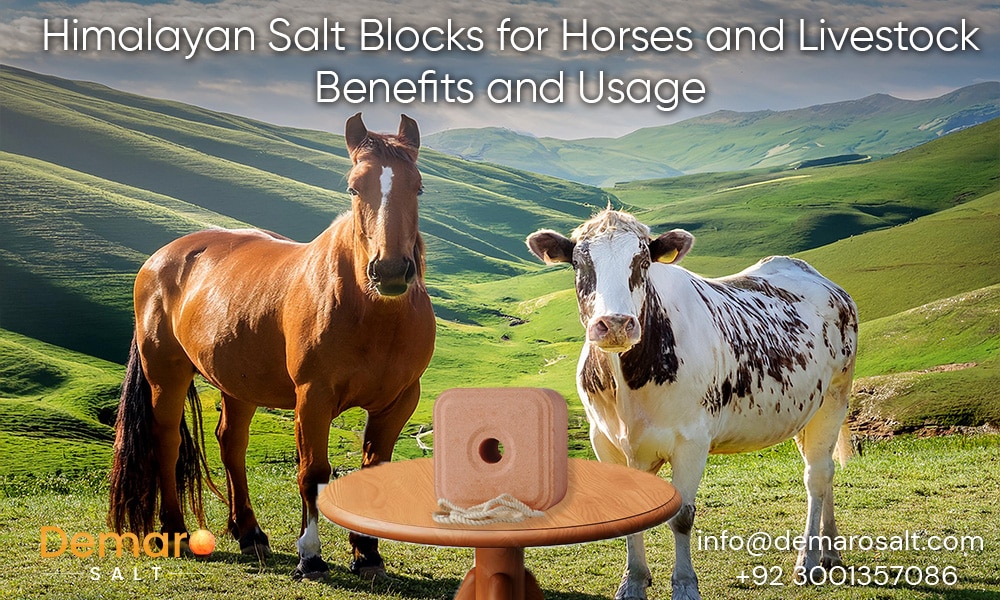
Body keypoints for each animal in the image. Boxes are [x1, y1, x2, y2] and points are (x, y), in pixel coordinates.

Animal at [108, 113, 436, 581]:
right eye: (355, 188)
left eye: (418, 187)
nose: (390, 271)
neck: (370, 313)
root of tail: (161, 258)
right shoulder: (313, 397)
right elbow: (313, 473)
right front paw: (310, 555)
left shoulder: (399, 402)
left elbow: (373, 471)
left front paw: (368, 554)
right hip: (165, 376)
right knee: (167, 443)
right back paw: (176, 531)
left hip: (238, 383)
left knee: (231, 443)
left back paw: (248, 532)